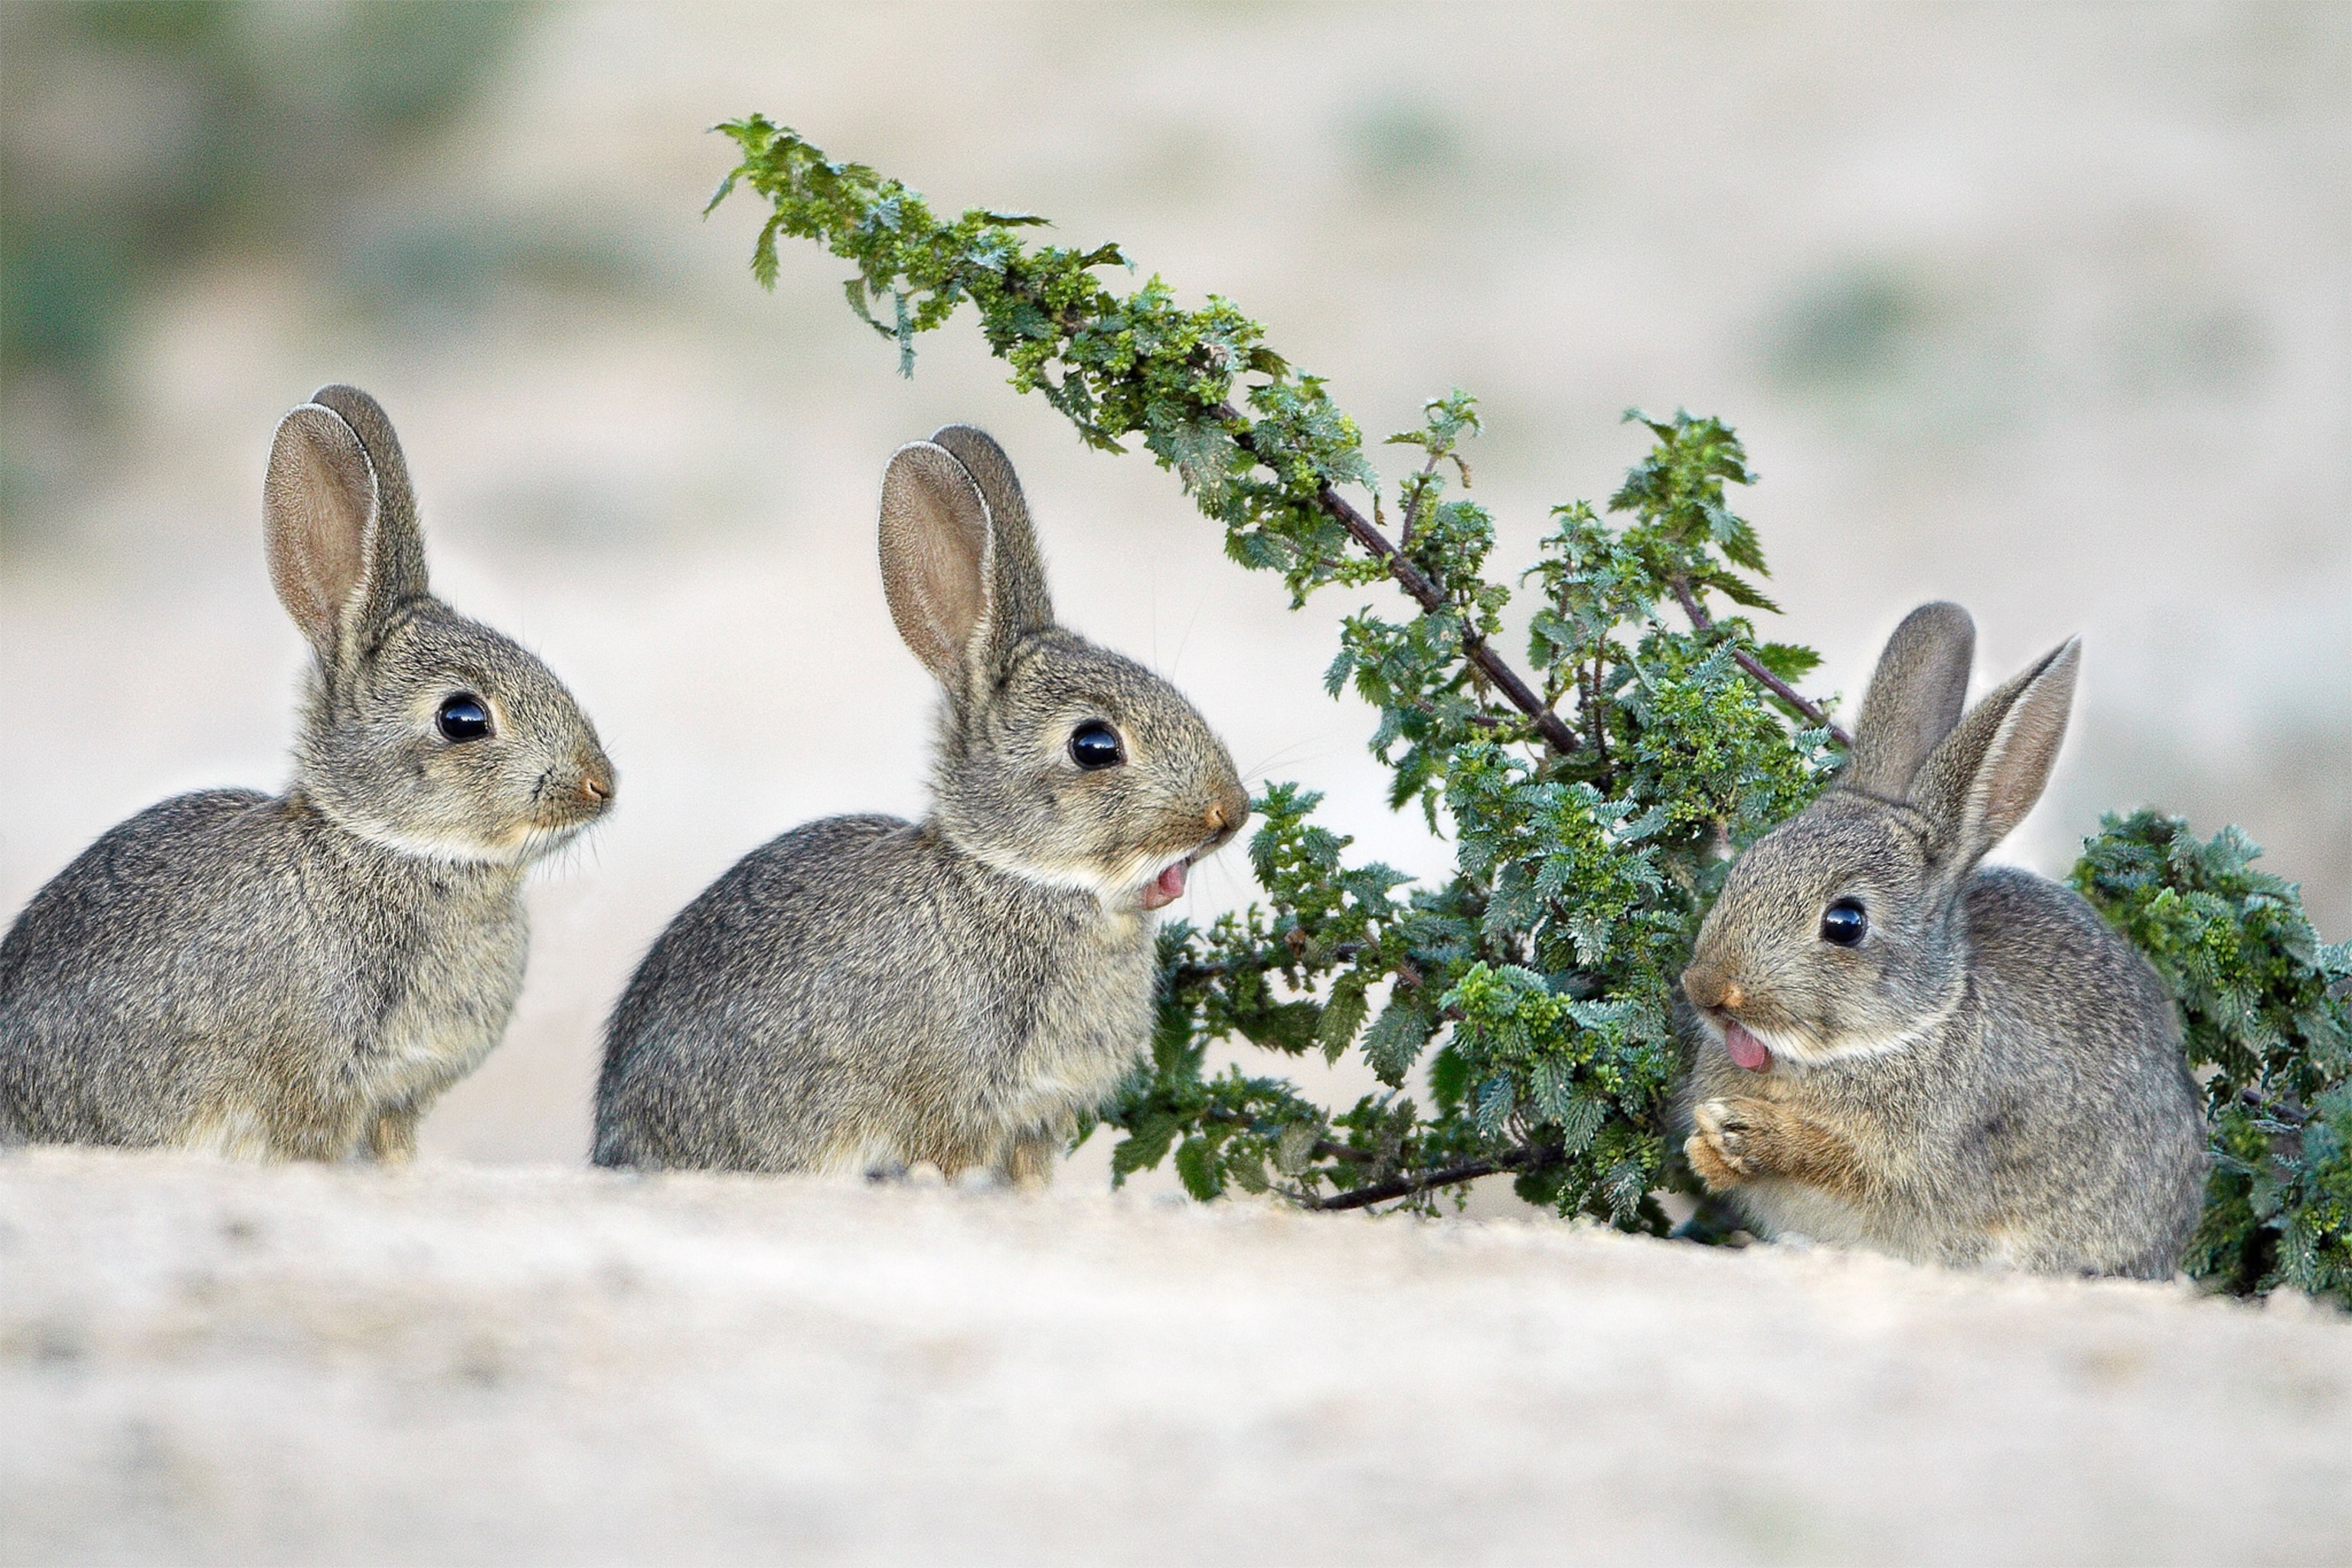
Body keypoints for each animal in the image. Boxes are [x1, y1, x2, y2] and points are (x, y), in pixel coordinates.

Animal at [1674, 601, 2206, 1278]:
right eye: (1742, 868)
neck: (1900, 1033)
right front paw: (1709, 1147)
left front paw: (1745, 1132)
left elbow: (1842, 1163)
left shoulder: (1913, 1160)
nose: (1706, 988)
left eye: (1845, 923)